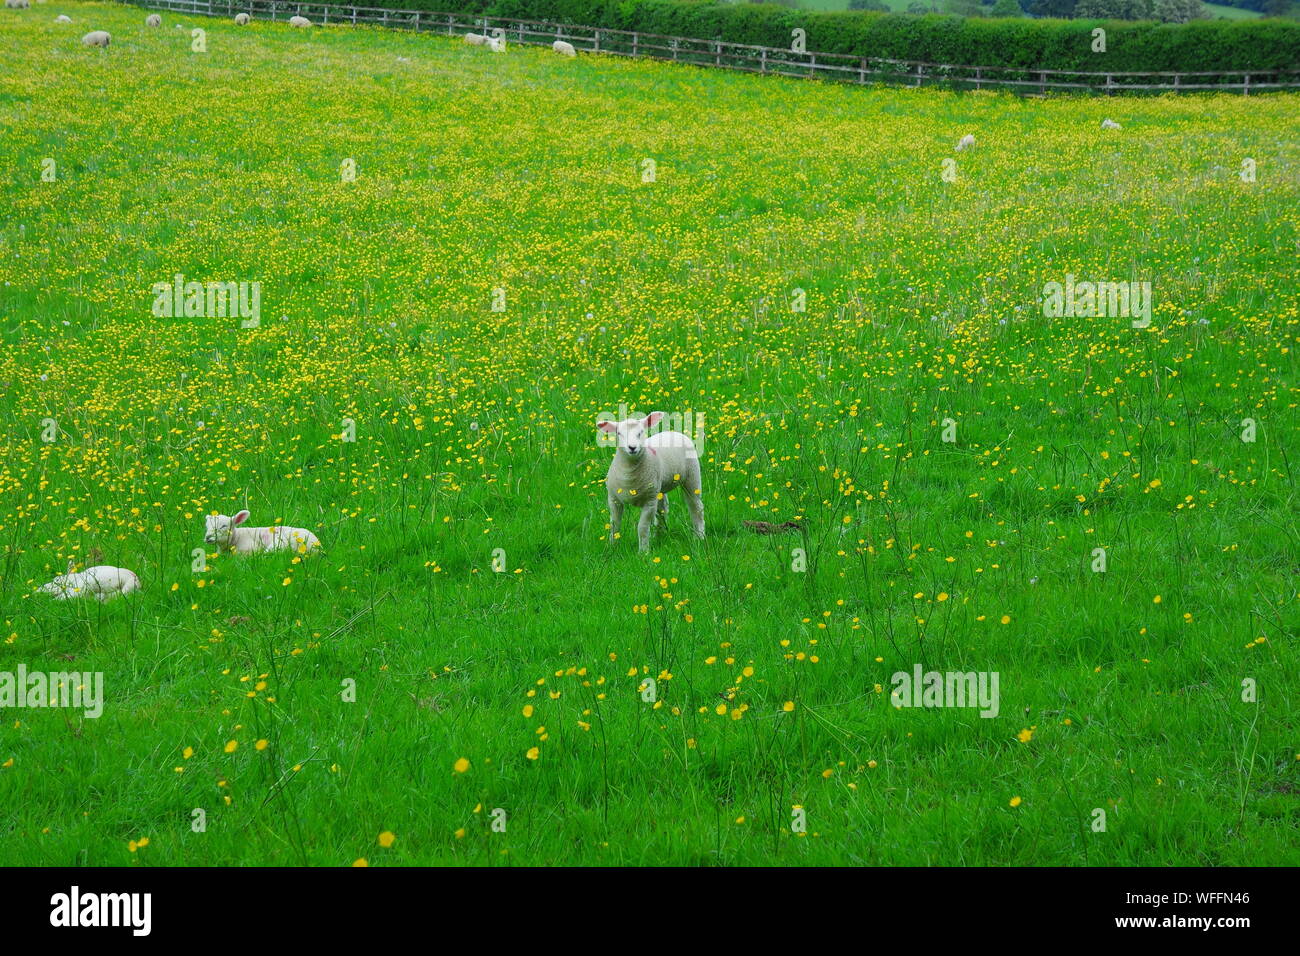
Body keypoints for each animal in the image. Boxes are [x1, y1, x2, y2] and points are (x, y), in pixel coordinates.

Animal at [598, 412, 705, 553]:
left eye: (641, 432)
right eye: (619, 433)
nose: (632, 447)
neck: (629, 475)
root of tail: (673, 432)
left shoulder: (649, 502)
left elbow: (642, 527)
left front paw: (643, 552)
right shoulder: (613, 499)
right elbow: (614, 525)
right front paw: (611, 547)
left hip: (692, 475)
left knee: (696, 507)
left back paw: (699, 536)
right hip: (659, 488)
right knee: (663, 508)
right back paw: (658, 535)